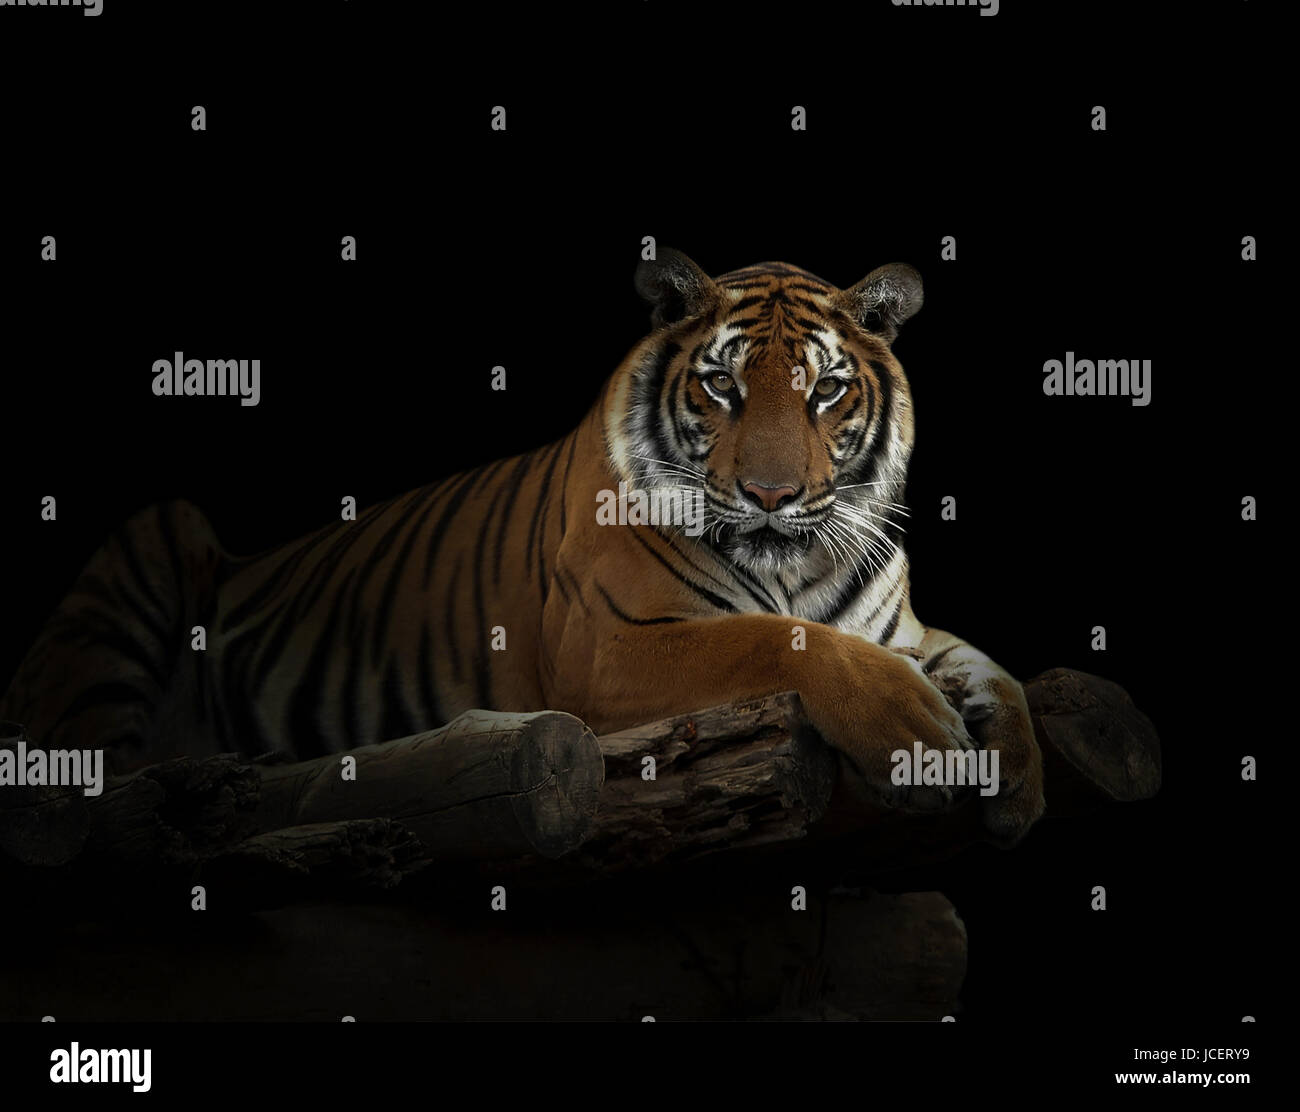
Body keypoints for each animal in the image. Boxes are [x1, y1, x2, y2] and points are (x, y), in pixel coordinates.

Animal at [1, 249, 1045, 844]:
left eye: (825, 391)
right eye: (723, 387)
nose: (772, 495)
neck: (794, 562)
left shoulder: (900, 627)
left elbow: (996, 671)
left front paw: (1020, 787)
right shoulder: (612, 648)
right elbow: (778, 640)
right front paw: (915, 736)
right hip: (154, 542)